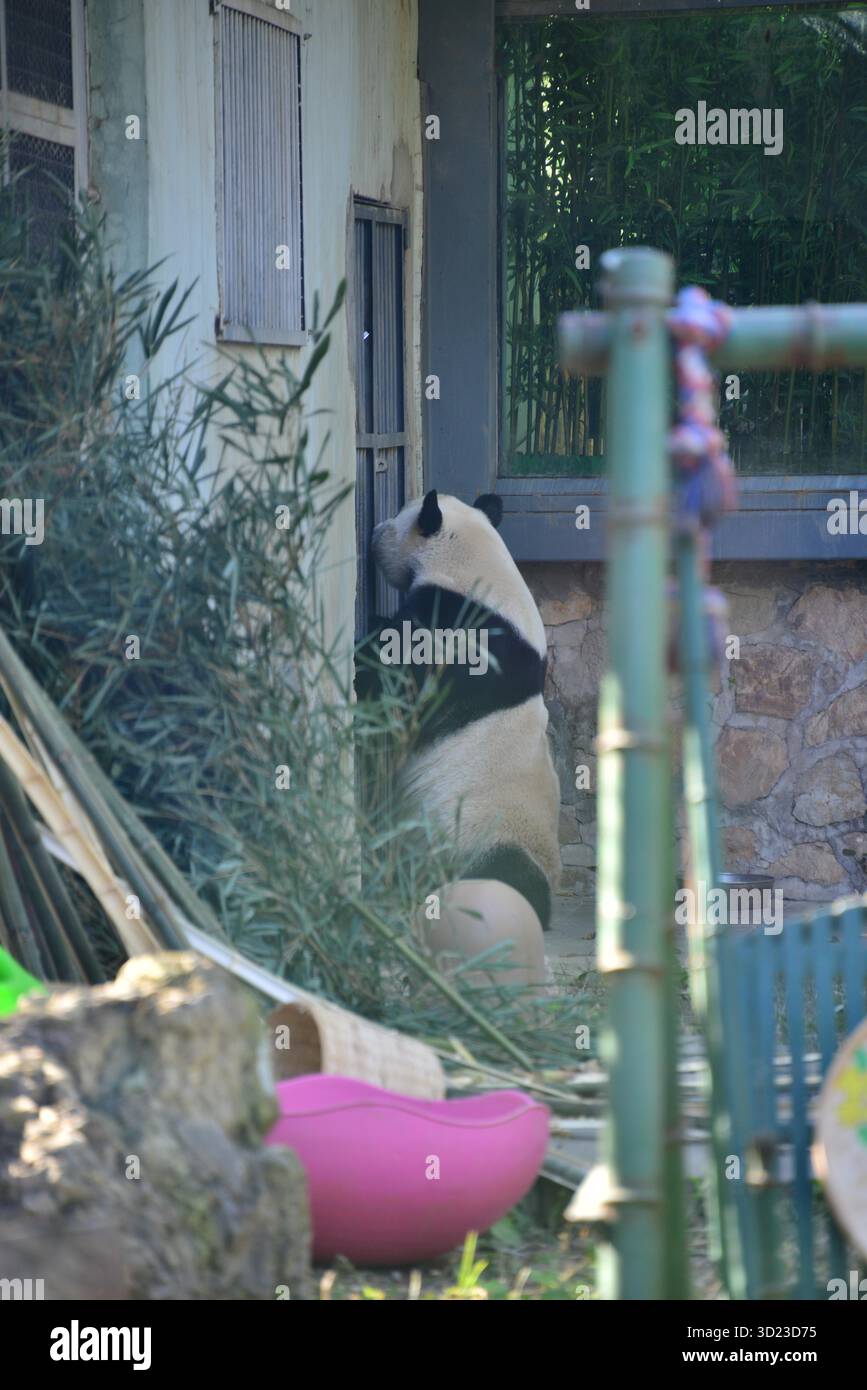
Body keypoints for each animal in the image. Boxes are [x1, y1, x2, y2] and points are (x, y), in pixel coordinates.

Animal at [368, 488, 561, 938]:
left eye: (396, 517)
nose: (375, 531)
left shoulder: (463, 636)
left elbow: (402, 685)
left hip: (491, 837)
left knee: (507, 874)